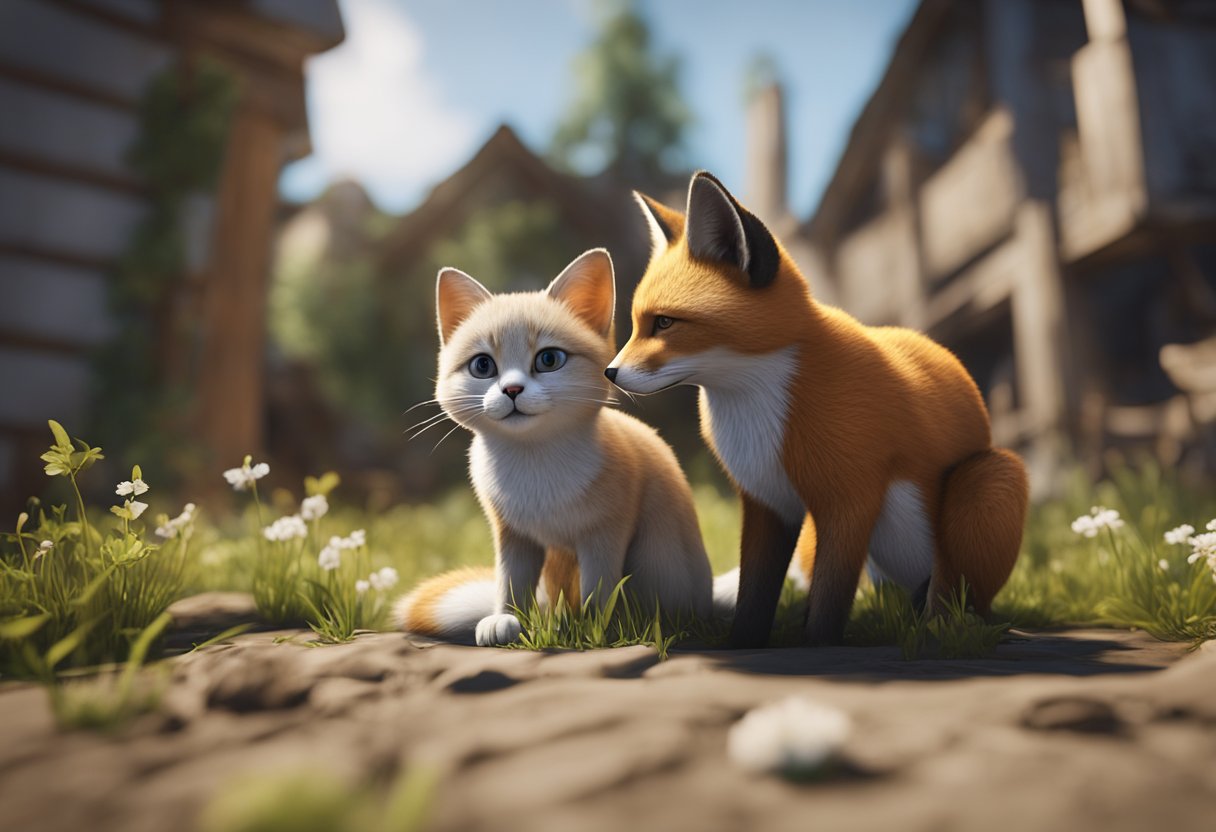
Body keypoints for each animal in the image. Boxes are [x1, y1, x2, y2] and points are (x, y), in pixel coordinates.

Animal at [394, 248, 715, 646]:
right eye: (482, 366)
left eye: (549, 359)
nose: (512, 390)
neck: (536, 472)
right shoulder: (512, 535)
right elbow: (510, 584)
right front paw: (506, 621)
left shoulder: (606, 533)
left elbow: (600, 590)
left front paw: (596, 629)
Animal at [606, 171, 1029, 649]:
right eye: (637, 324)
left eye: (664, 323)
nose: (610, 372)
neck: (759, 410)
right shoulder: (768, 503)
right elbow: (754, 594)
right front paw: (743, 645)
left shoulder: (851, 500)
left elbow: (830, 600)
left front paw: (818, 645)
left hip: (987, 481)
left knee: (951, 597)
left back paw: (945, 628)